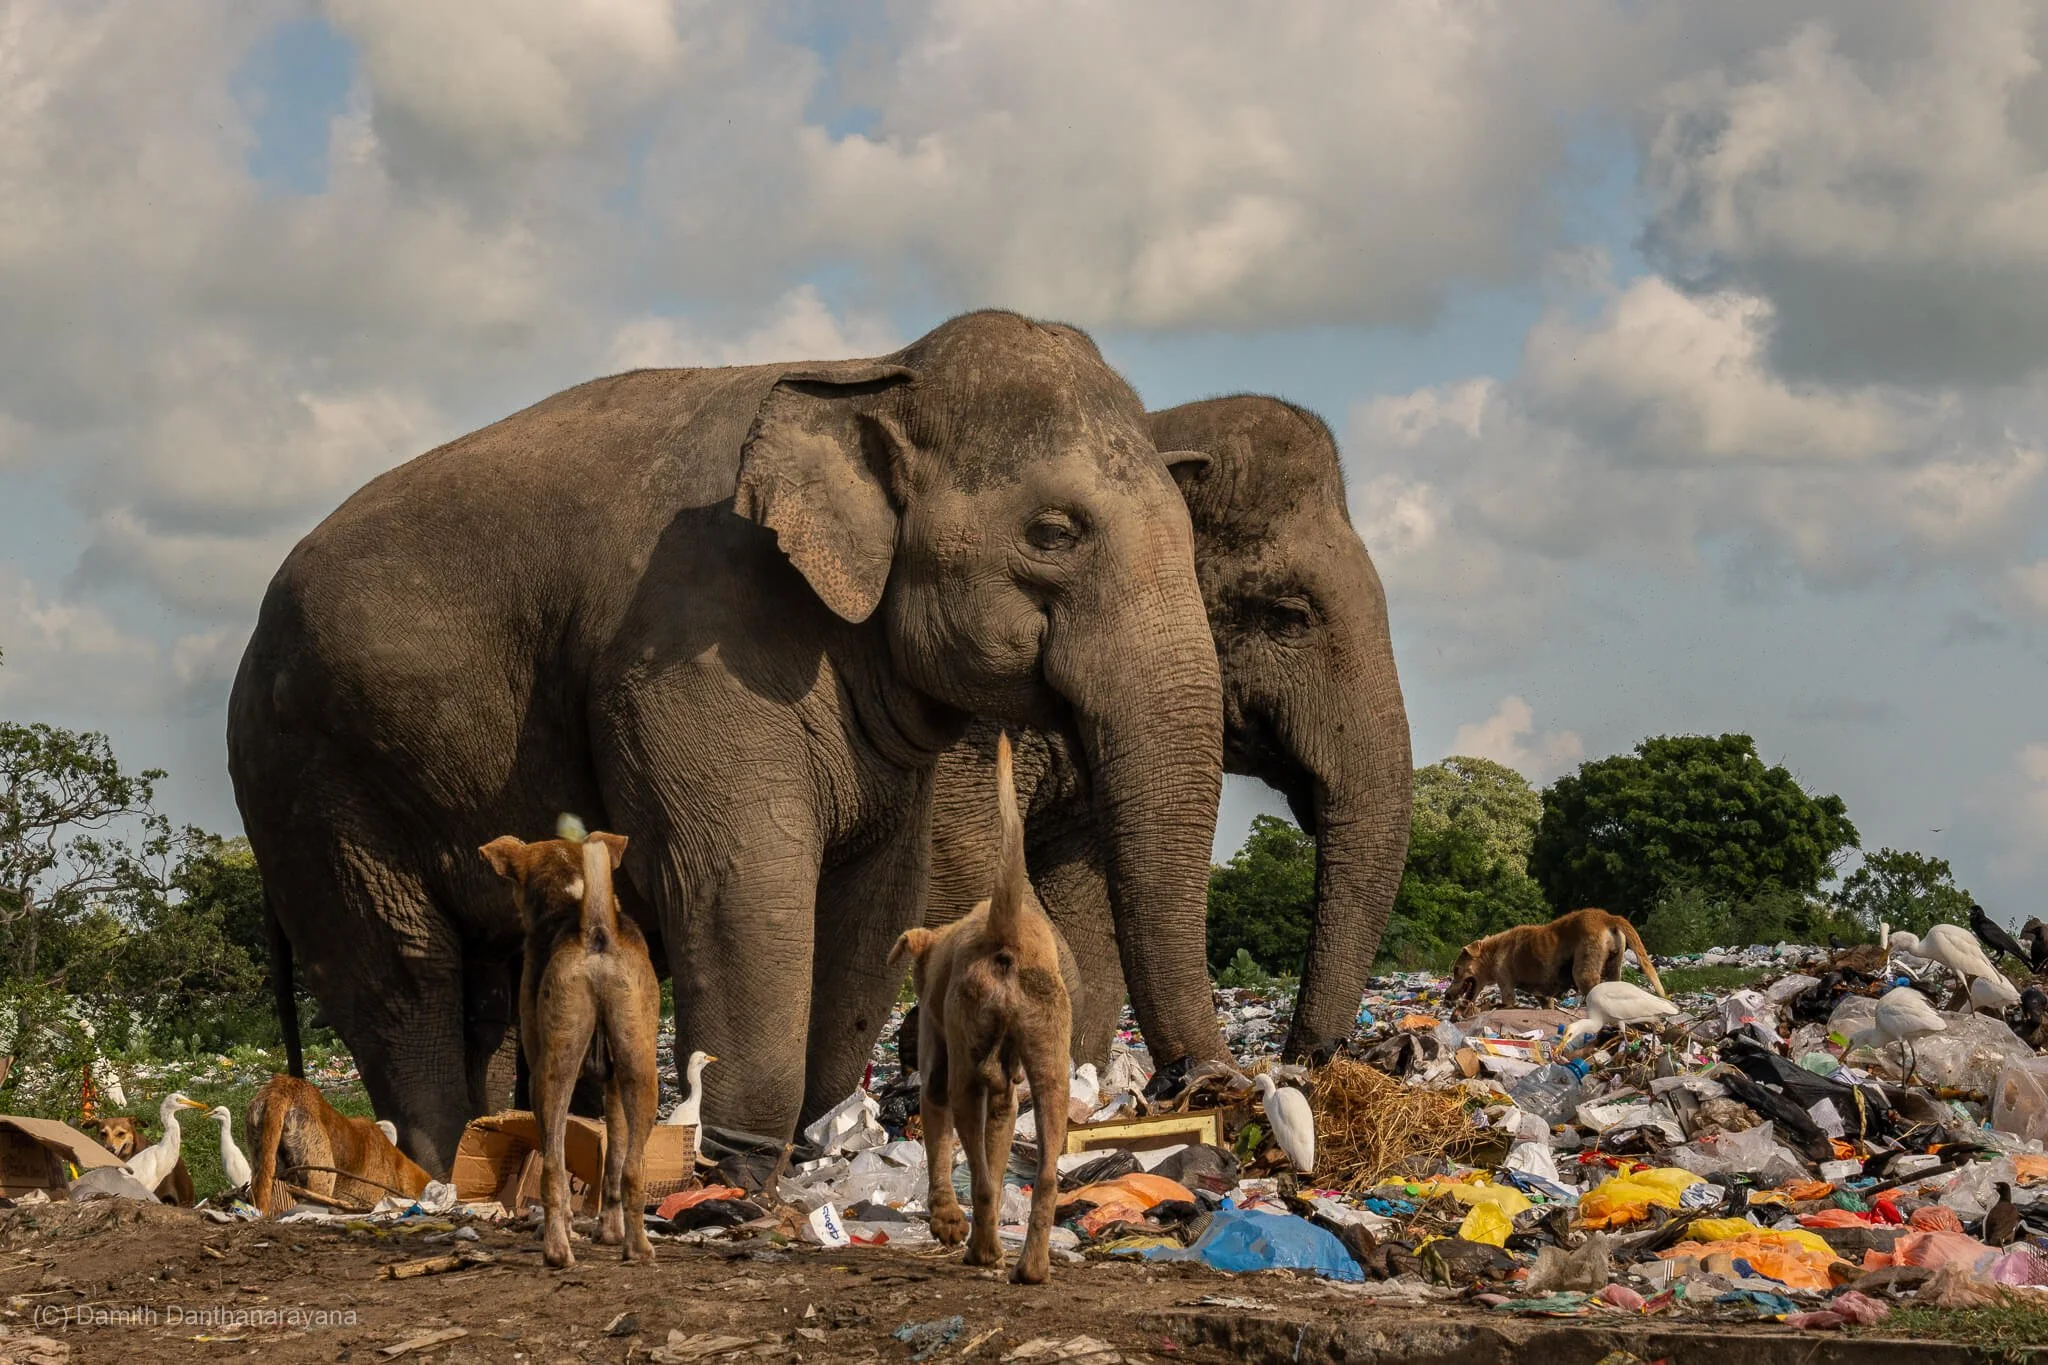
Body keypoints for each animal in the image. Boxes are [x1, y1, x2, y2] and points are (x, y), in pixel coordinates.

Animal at [226, 310, 1228, 1174]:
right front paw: (733, 1166)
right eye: (1054, 533)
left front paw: (819, 1143)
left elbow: (872, 900)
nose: (1205, 1089)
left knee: (480, 982)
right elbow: (740, 883)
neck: (871, 372)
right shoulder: (688, 651)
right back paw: (439, 1171)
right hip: (311, 787)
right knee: (402, 976)